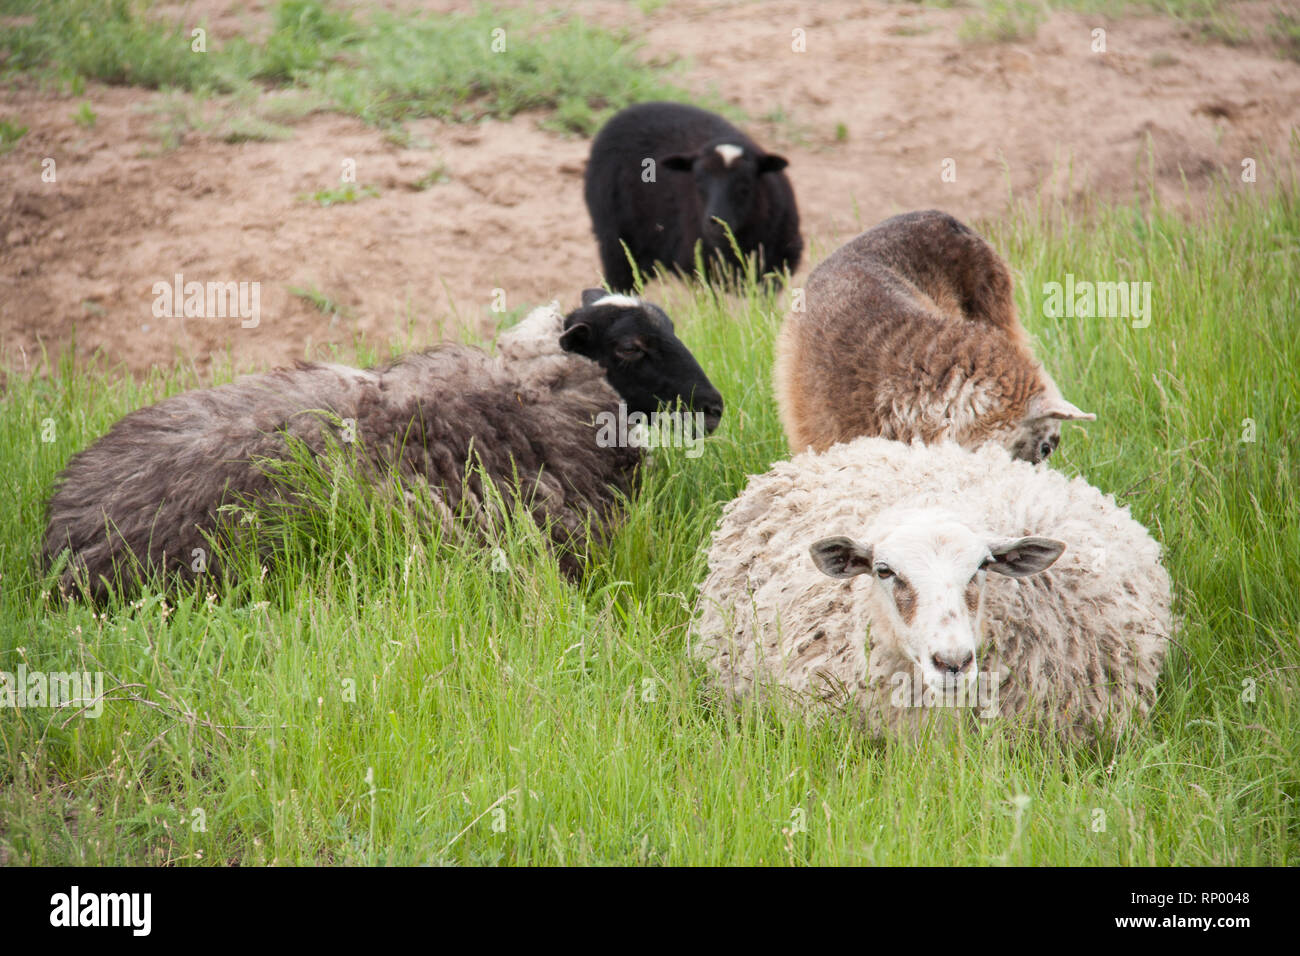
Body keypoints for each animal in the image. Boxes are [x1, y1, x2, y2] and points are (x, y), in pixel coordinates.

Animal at [584, 101, 802, 292]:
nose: (716, 222)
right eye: (697, 181)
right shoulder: (702, 274)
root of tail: (626, 112)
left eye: (745, 184)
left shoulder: (773, 274)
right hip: (616, 242)